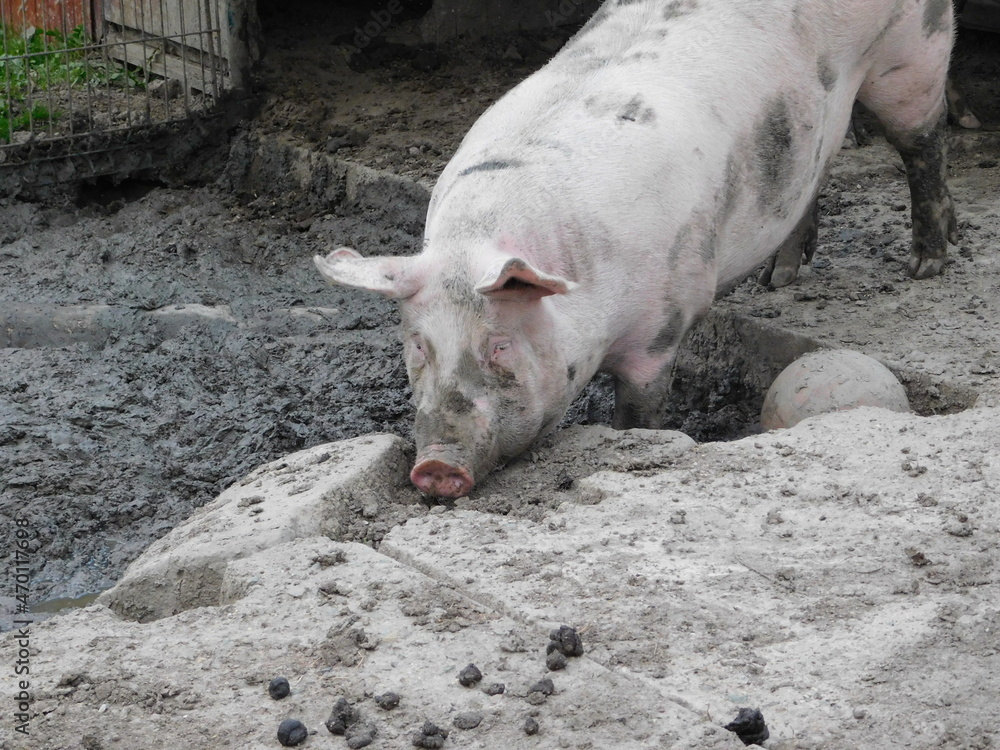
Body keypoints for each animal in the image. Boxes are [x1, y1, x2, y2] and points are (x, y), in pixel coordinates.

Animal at [315, 0, 958, 497]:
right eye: (418, 345)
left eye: (499, 344)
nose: (434, 467)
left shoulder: (663, 324)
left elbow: (640, 408)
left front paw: (631, 439)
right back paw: (779, 278)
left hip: (913, 54)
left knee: (922, 144)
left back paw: (928, 263)